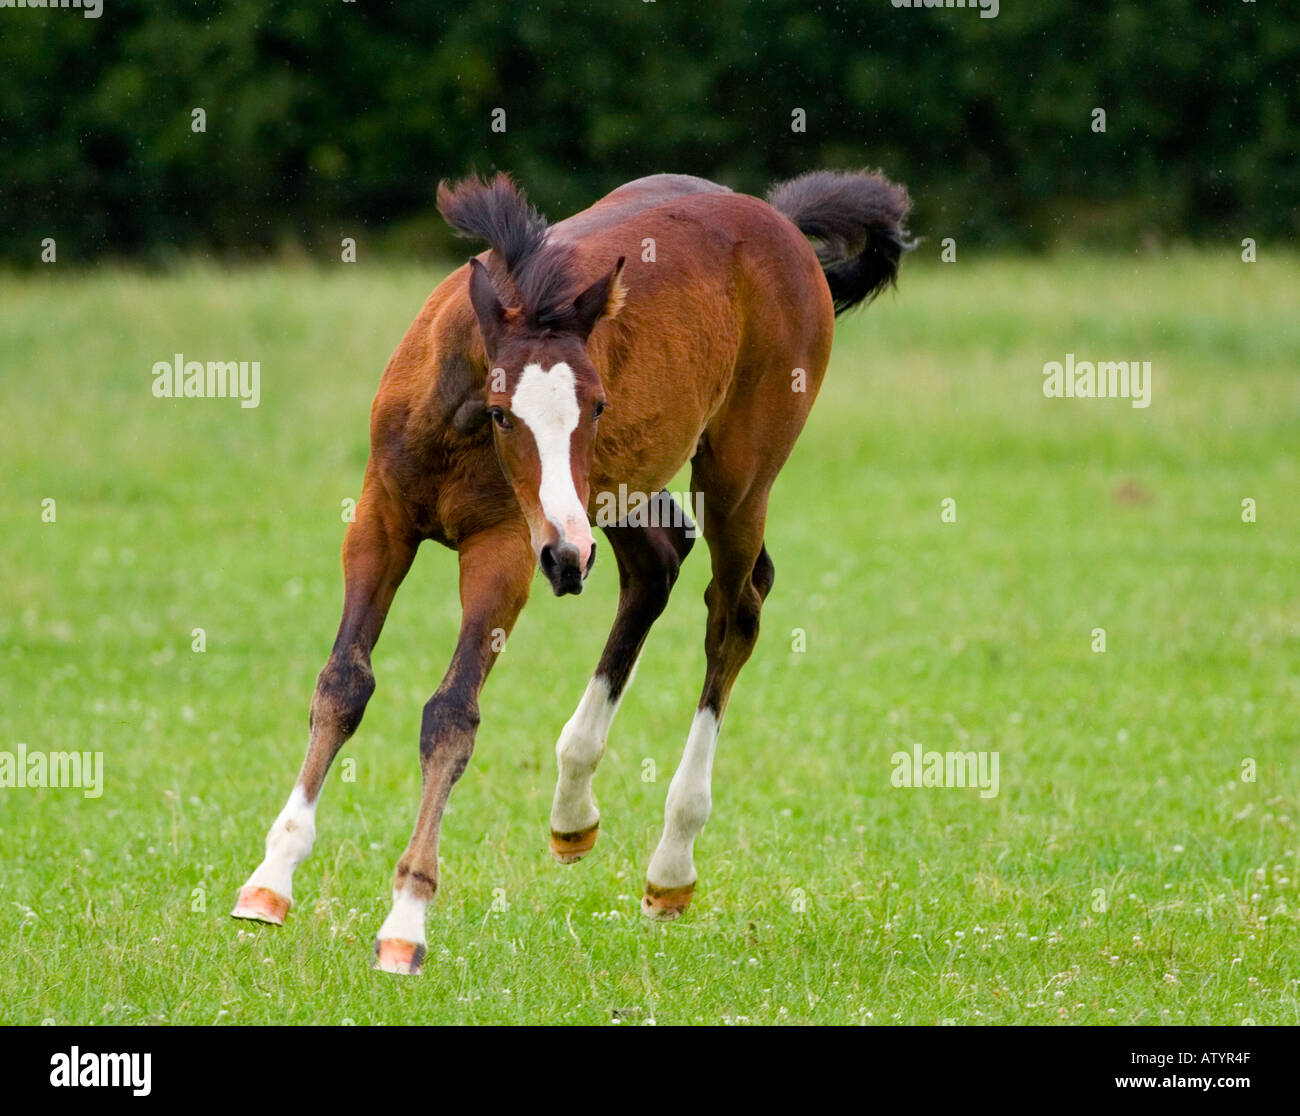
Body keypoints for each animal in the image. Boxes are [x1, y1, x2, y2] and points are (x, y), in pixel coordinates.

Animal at [232, 168, 911, 974]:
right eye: (503, 411)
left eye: (598, 404)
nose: (564, 554)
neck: (455, 423)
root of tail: (779, 220)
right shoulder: (380, 520)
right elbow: (343, 683)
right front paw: (270, 881)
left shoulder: (503, 551)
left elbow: (451, 715)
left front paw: (405, 920)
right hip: (616, 493)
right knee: (658, 564)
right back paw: (572, 806)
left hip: (729, 478)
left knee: (733, 612)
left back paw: (670, 862)